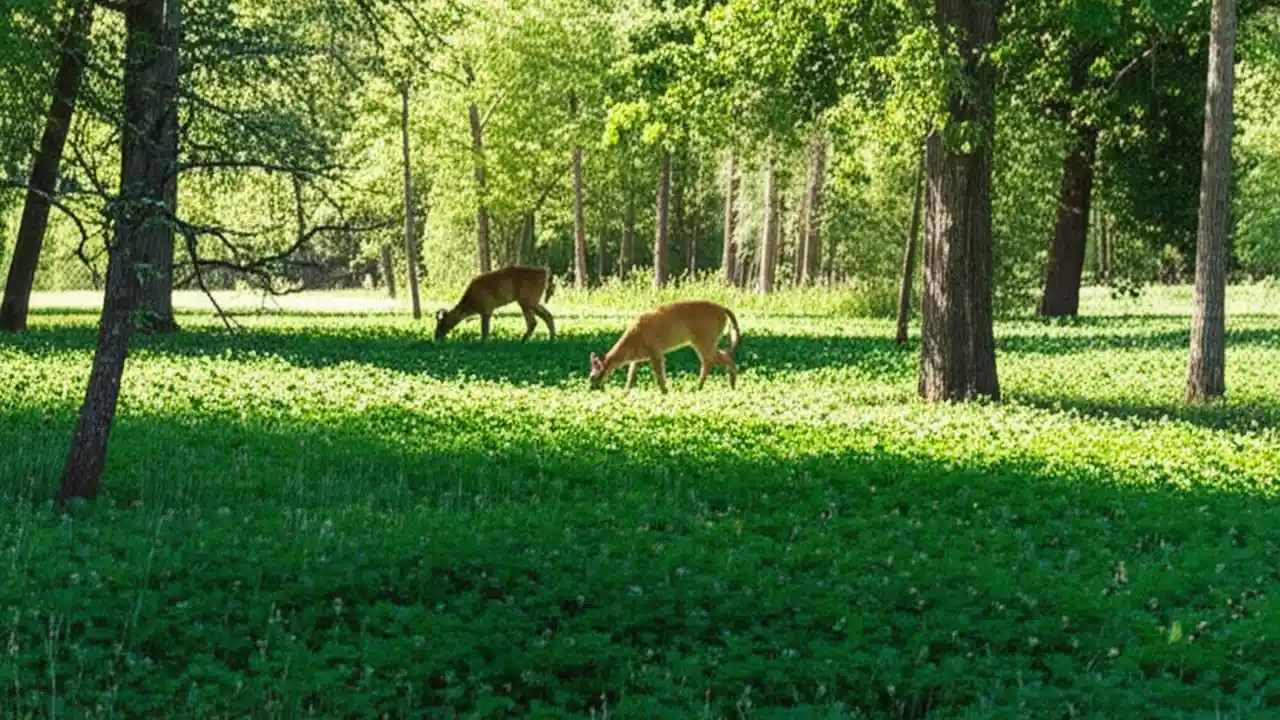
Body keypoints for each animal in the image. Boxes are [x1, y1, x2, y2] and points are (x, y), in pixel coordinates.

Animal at [588, 300, 741, 393]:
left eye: (593, 376)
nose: (591, 388)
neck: (632, 343)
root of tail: (723, 310)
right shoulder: (638, 357)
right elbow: (631, 375)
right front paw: (626, 391)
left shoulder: (655, 350)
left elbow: (659, 375)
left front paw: (664, 392)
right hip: (706, 340)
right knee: (720, 356)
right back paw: (726, 385)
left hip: (705, 338)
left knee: (713, 360)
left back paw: (703, 387)